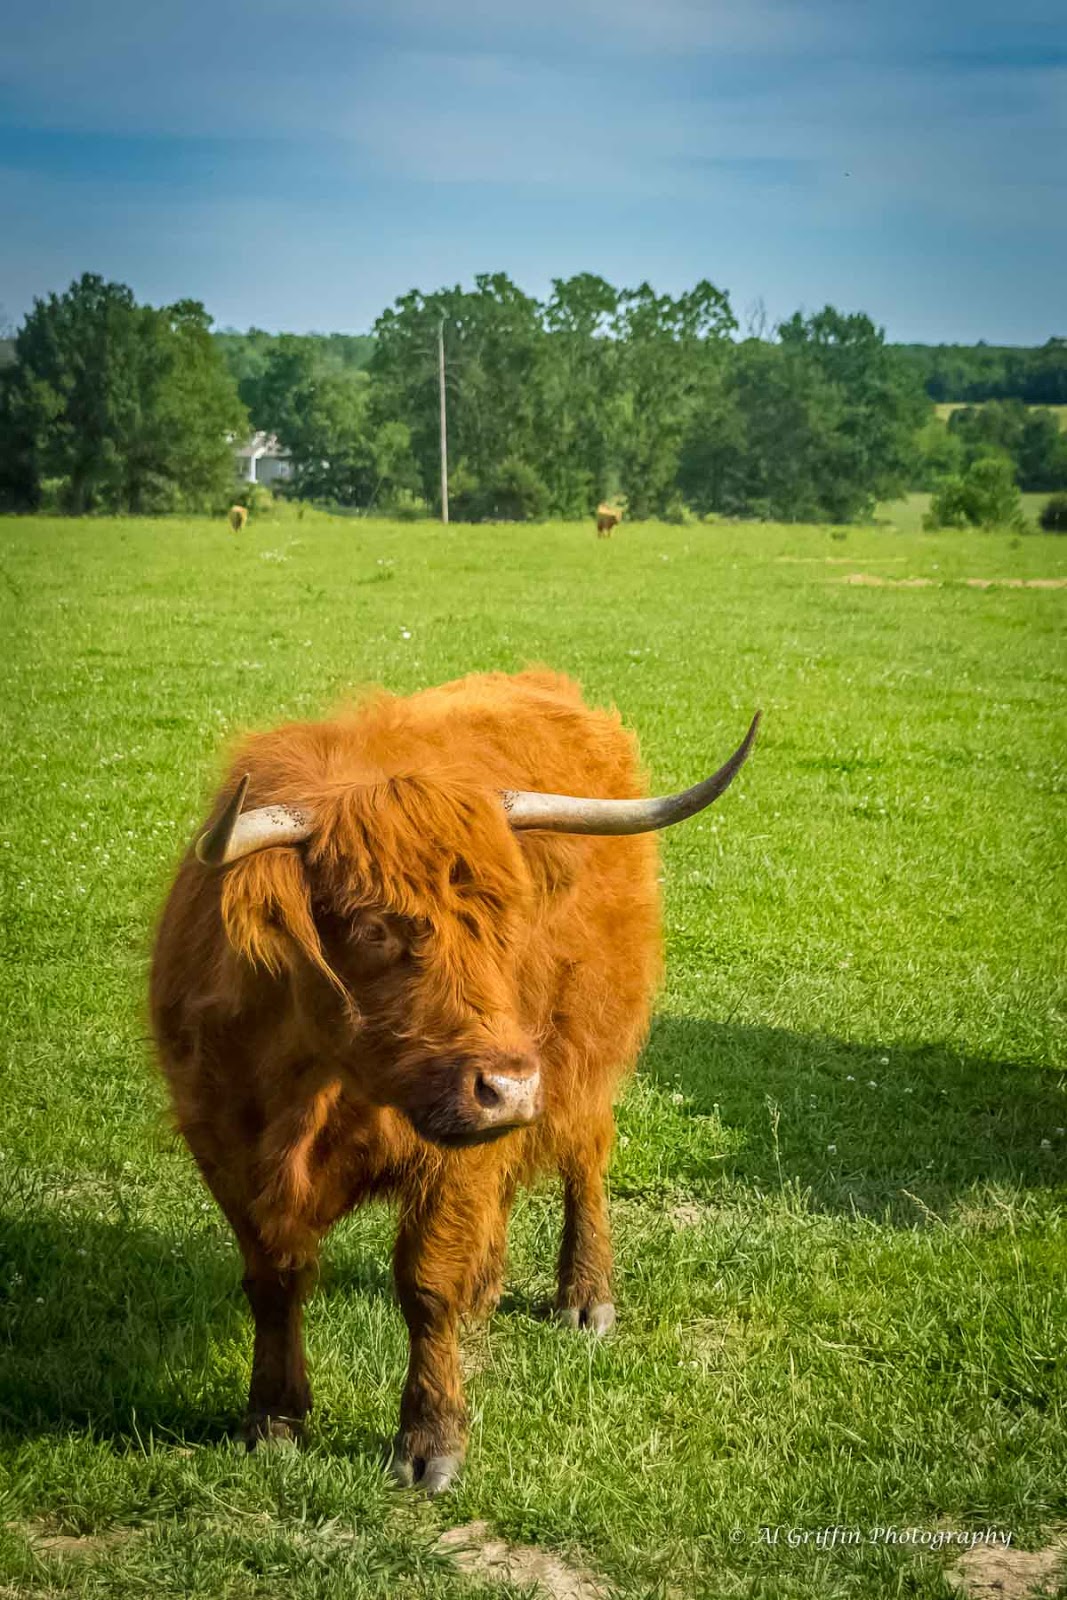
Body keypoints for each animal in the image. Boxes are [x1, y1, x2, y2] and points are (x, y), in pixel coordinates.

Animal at [150, 669, 758, 1492]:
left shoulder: (452, 1153)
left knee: (585, 1156)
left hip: (583, 1051)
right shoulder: (220, 1141)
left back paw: (584, 1297)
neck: (312, 1088)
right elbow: (273, 1276)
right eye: (374, 926)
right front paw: (273, 1418)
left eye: (506, 922)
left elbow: (425, 1285)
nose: (507, 1087)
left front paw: (429, 1442)